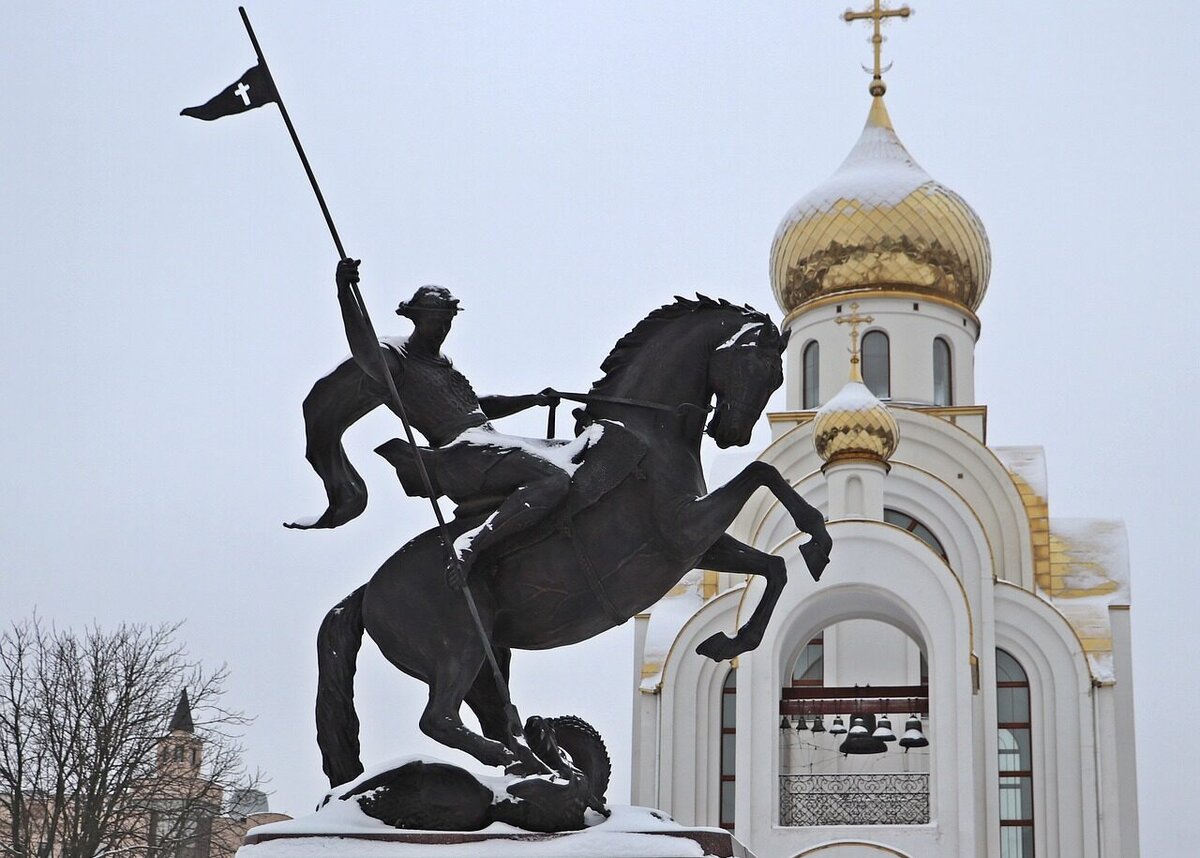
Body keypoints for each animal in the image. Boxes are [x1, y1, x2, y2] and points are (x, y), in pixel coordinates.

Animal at [314, 297, 830, 792]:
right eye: (760, 365)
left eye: (778, 375)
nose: (731, 434)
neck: (647, 435)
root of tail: (368, 591)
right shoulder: (686, 528)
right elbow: (763, 473)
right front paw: (817, 538)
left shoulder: (696, 548)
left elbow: (775, 566)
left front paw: (734, 637)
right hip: (458, 647)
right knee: (439, 719)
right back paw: (527, 758)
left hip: (488, 658)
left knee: (489, 718)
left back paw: (547, 764)